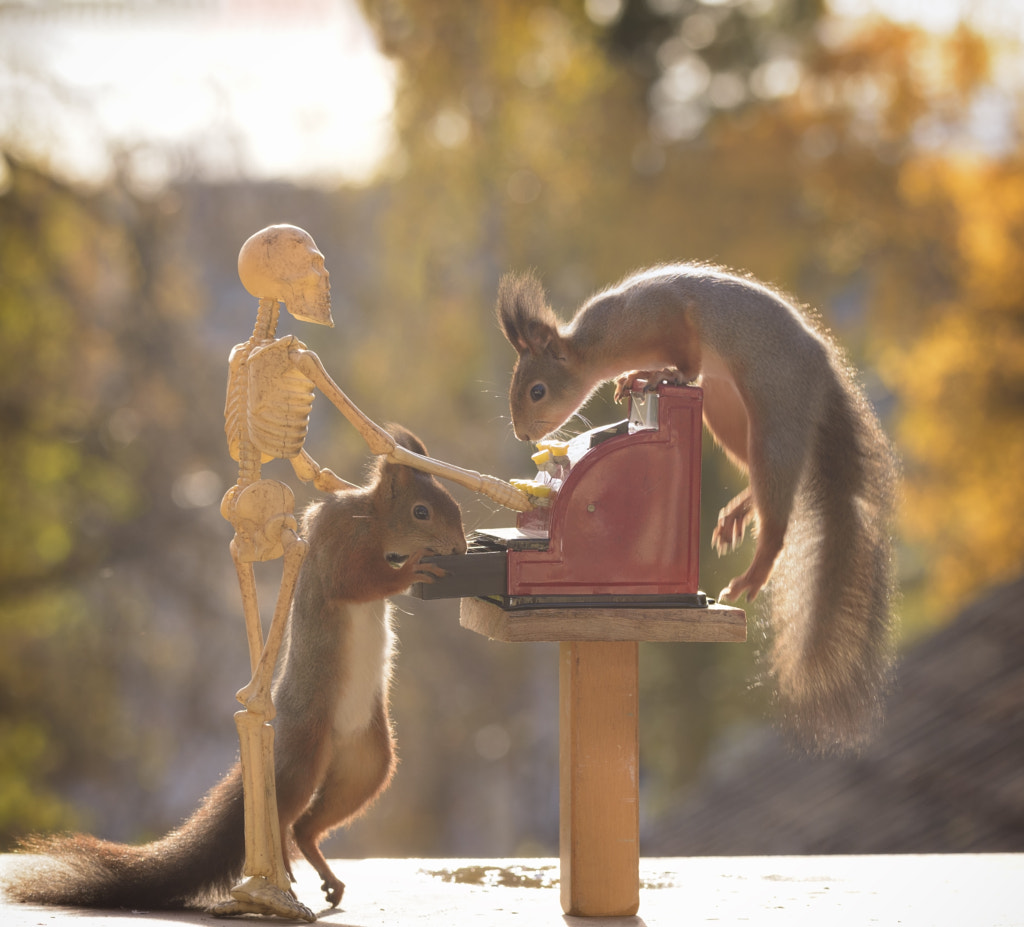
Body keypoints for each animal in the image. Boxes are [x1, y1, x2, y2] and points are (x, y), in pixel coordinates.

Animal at [3, 425, 467, 912]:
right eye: (421, 512)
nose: (460, 547)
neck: (373, 520)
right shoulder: (340, 545)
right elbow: (356, 582)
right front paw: (414, 569)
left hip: (368, 763)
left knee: (308, 825)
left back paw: (323, 876)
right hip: (305, 753)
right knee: (281, 812)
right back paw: (280, 871)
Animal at [496, 265, 898, 753]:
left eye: (537, 390)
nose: (521, 434)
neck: (602, 342)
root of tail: (824, 366)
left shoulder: (671, 318)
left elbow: (686, 360)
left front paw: (656, 375)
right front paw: (632, 378)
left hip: (774, 407)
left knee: (779, 508)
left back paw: (751, 576)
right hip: (727, 412)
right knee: (760, 478)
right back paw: (738, 513)